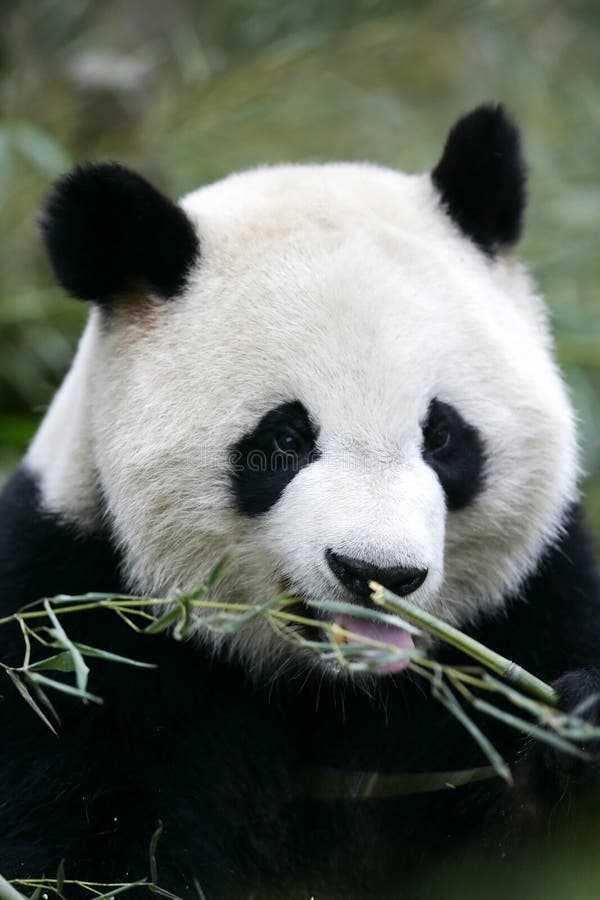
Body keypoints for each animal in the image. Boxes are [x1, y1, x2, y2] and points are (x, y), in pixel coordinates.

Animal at [0, 104, 599, 898]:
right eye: (285, 439)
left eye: (440, 435)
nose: (379, 573)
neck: (331, 687)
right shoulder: (71, 624)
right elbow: (75, 842)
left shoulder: (536, 601)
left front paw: (579, 726)